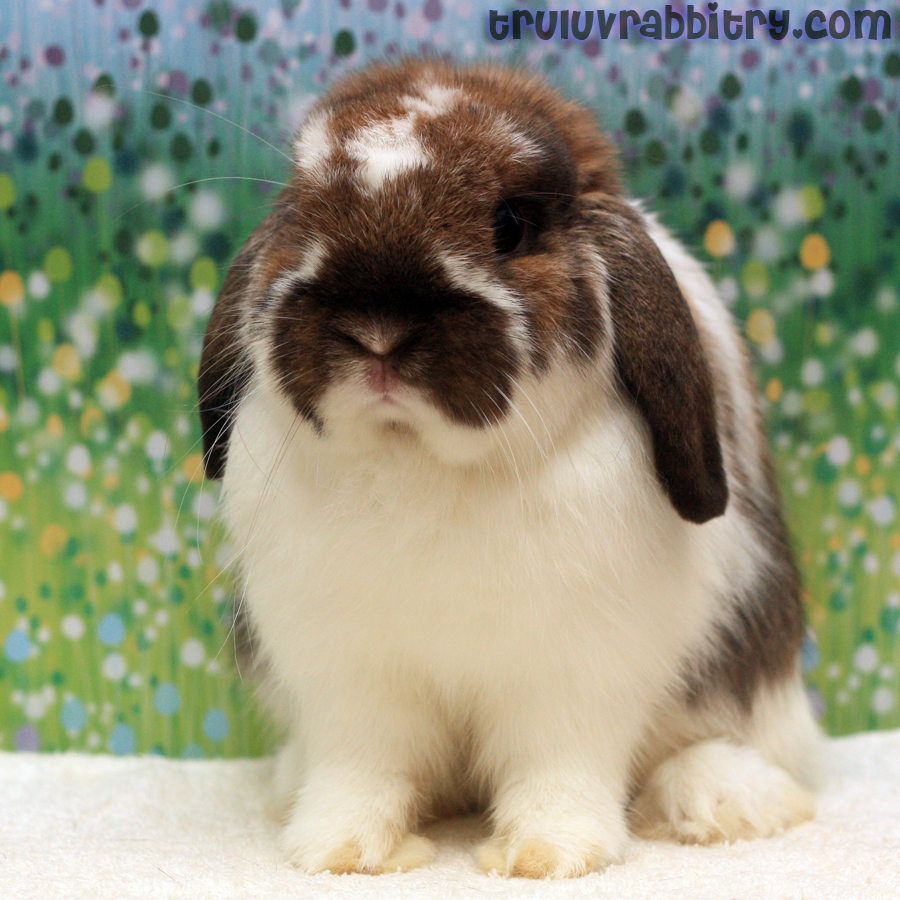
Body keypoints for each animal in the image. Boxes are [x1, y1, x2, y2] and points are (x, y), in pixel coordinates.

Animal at [198, 58, 820, 878]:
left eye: (511, 224)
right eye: (303, 214)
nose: (377, 332)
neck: (420, 463)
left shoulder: (568, 679)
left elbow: (556, 771)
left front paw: (545, 856)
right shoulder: (354, 683)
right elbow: (362, 773)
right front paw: (343, 852)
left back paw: (720, 802)